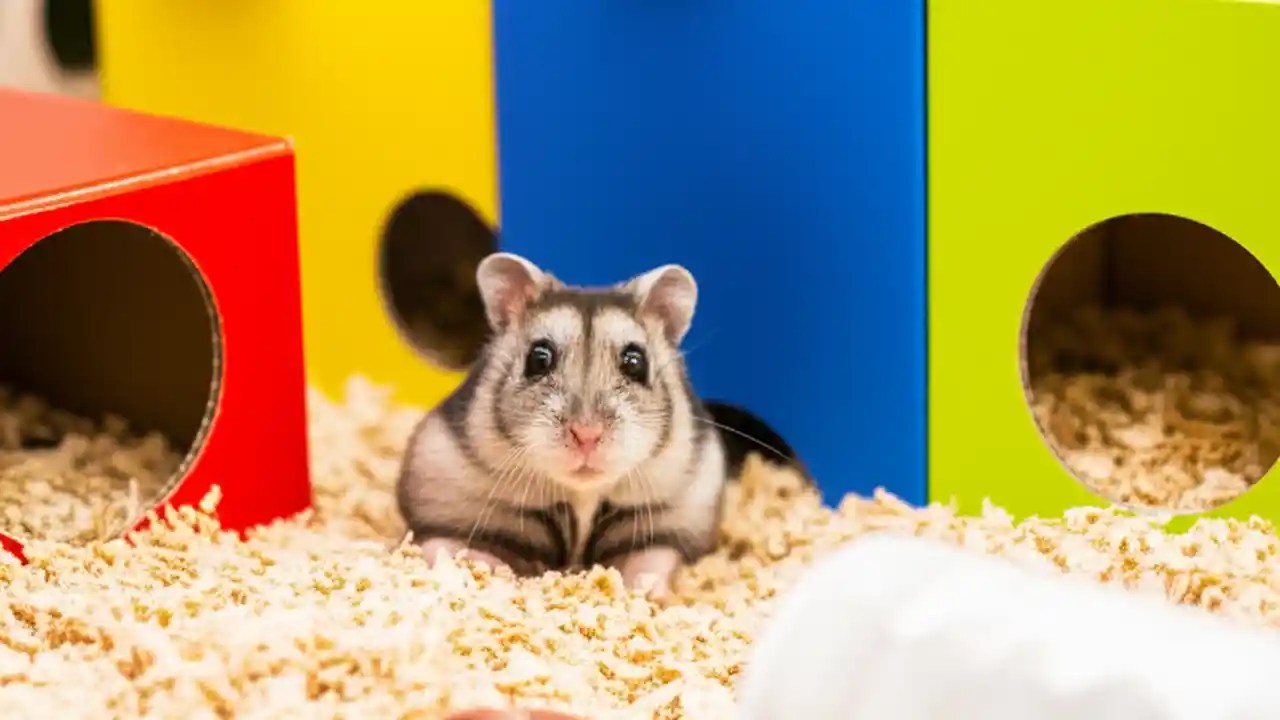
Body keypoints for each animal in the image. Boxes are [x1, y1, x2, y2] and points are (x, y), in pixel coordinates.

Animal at [396, 252, 728, 599]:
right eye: (538, 358)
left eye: (635, 362)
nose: (586, 435)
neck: (582, 494)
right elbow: (441, 545)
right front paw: (490, 572)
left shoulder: (673, 519)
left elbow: (654, 558)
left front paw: (648, 594)